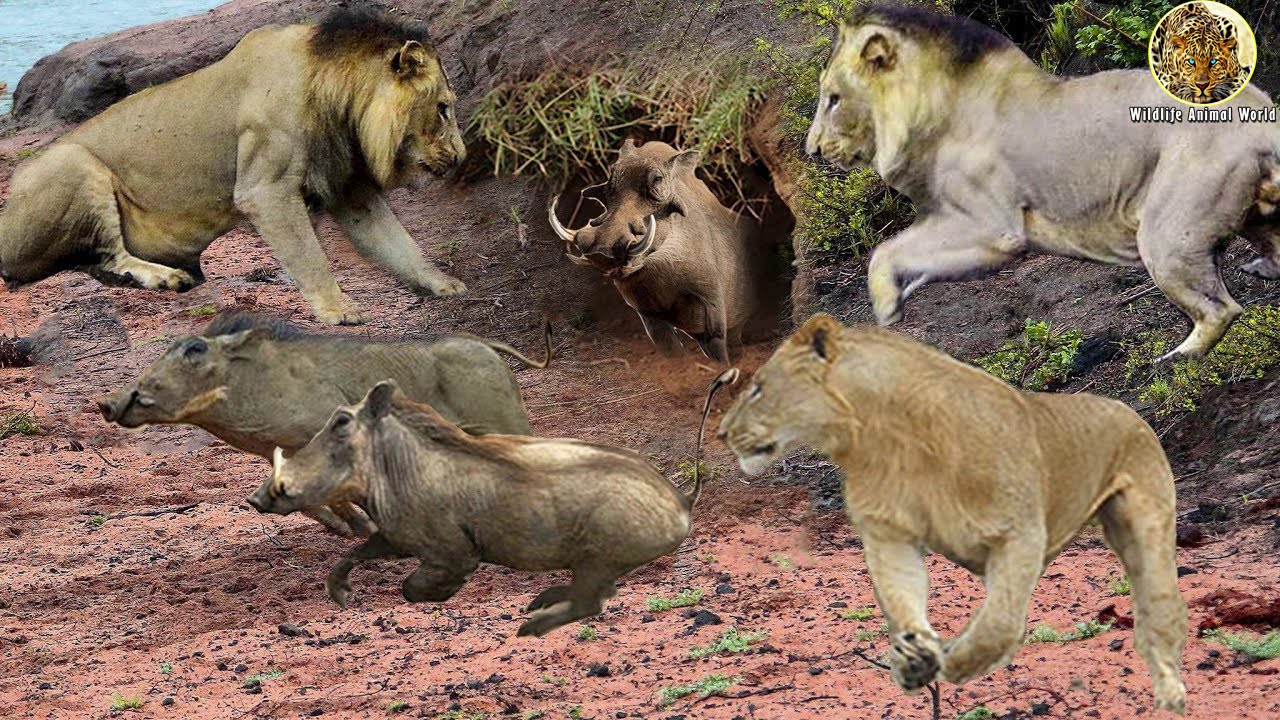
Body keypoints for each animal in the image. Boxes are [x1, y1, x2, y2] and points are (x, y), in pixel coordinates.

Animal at [0, 7, 467, 325]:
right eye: (444, 108)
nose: (462, 158)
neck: (341, 100)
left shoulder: (349, 187)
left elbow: (400, 243)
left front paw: (440, 283)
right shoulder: (266, 189)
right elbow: (310, 255)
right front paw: (338, 309)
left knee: (91, 264)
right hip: (72, 162)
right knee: (110, 255)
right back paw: (164, 277)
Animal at [716, 314, 1188, 714]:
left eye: (758, 388)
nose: (720, 433)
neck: (886, 438)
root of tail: (1127, 409)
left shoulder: (1020, 534)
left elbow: (1000, 623)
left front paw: (955, 664)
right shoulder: (889, 534)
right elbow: (902, 599)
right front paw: (915, 658)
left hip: (1146, 535)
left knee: (1158, 617)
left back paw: (1170, 694)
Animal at [806, 5, 1280, 361]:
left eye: (833, 100)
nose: (813, 150)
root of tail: (1264, 114)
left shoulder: (993, 228)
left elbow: (885, 252)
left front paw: (886, 309)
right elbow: (912, 255)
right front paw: (902, 293)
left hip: (1166, 235)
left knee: (1221, 309)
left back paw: (1176, 358)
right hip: (1255, 216)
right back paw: (1258, 269)